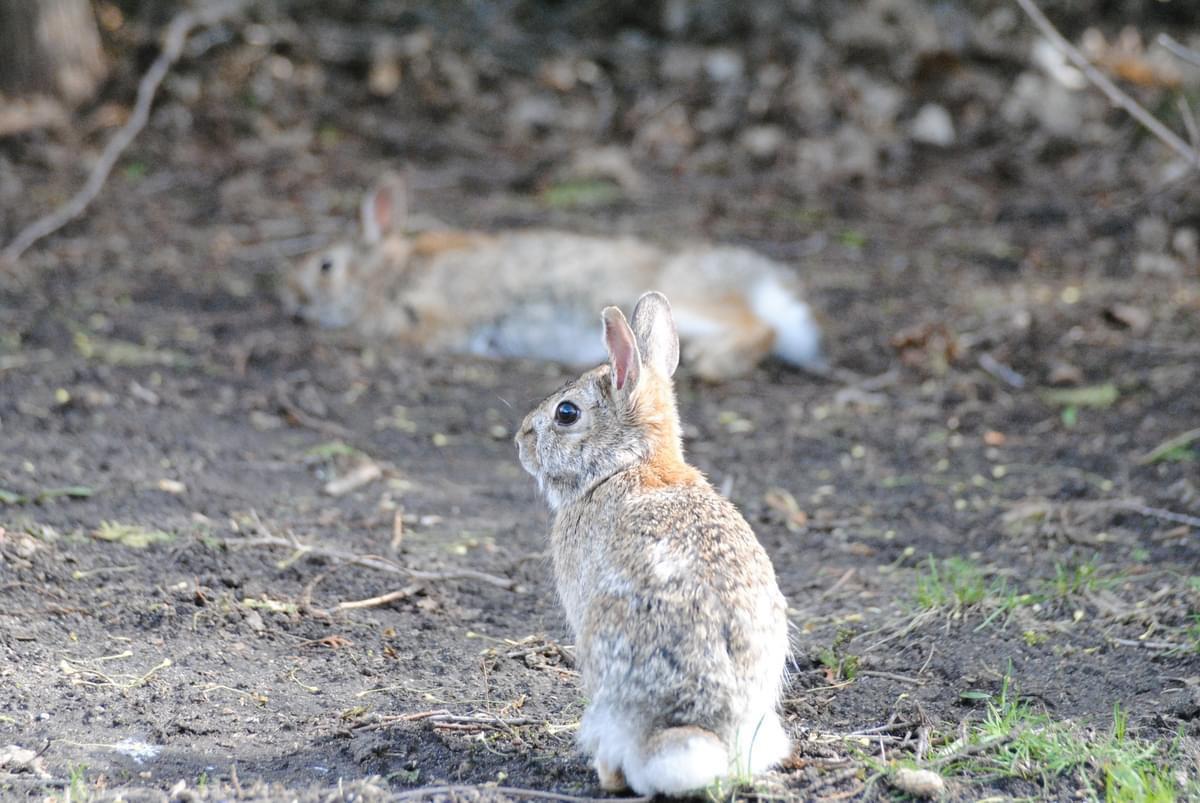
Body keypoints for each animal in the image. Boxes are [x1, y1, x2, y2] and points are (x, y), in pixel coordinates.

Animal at [282, 174, 826, 381]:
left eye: (326, 265)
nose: (289, 295)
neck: (386, 274)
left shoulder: (438, 313)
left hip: (683, 300)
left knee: (760, 326)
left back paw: (715, 362)